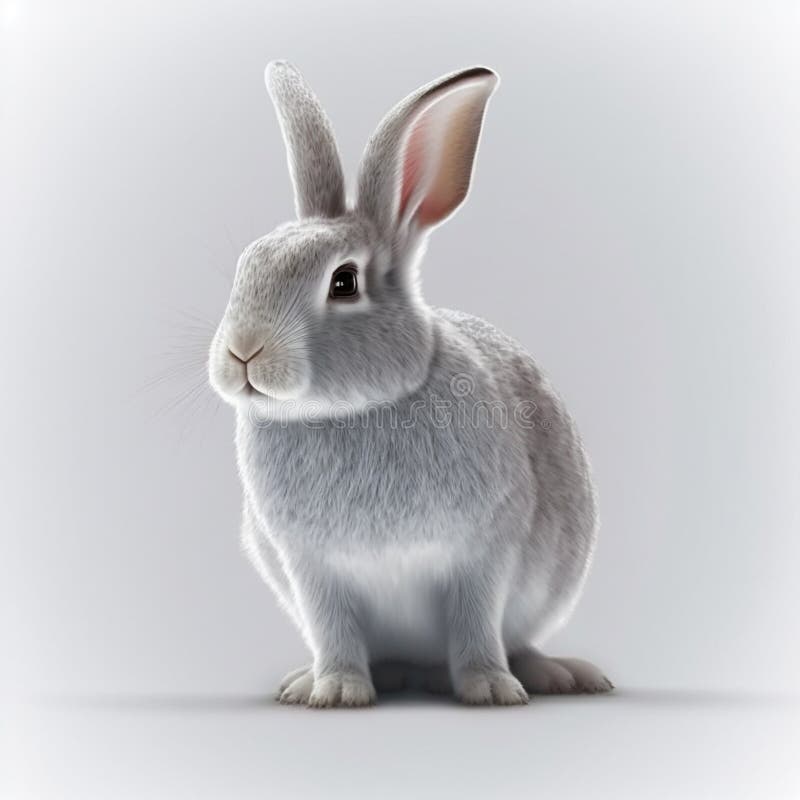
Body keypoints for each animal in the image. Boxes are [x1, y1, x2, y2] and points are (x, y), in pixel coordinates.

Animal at [207, 60, 613, 707]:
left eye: (344, 282)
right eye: (249, 264)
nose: (242, 352)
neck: (354, 408)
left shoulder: (483, 550)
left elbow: (476, 621)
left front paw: (490, 689)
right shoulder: (310, 568)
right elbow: (332, 628)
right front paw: (336, 691)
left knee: (517, 639)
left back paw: (557, 674)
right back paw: (309, 680)